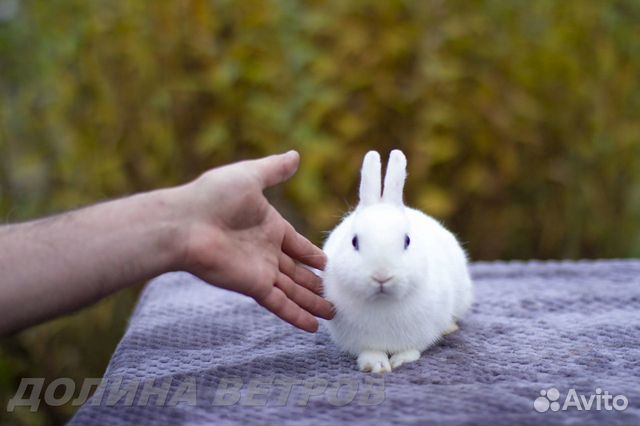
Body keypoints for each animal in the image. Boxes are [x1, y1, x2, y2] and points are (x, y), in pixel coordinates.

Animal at [322, 149, 473, 373]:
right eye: (354, 241)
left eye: (407, 241)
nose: (381, 276)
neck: (383, 302)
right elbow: (370, 351)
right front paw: (375, 365)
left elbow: (411, 349)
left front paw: (400, 360)